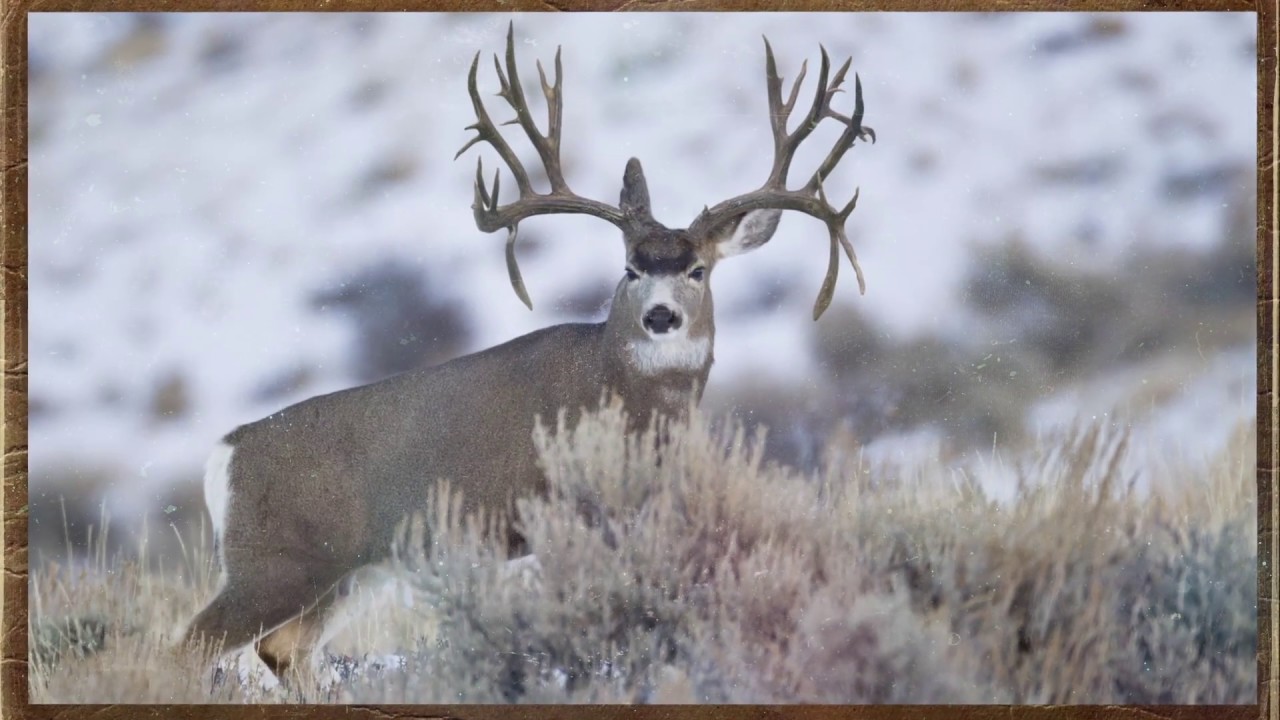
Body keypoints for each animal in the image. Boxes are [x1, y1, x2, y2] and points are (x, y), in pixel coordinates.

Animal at [179, 23, 875, 682]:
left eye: (697, 270)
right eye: (630, 268)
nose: (660, 315)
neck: (623, 394)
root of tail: (226, 453)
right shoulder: (581, 510)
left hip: (344, 576)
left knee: (283, 650)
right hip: (274, 565)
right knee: (191, 646)